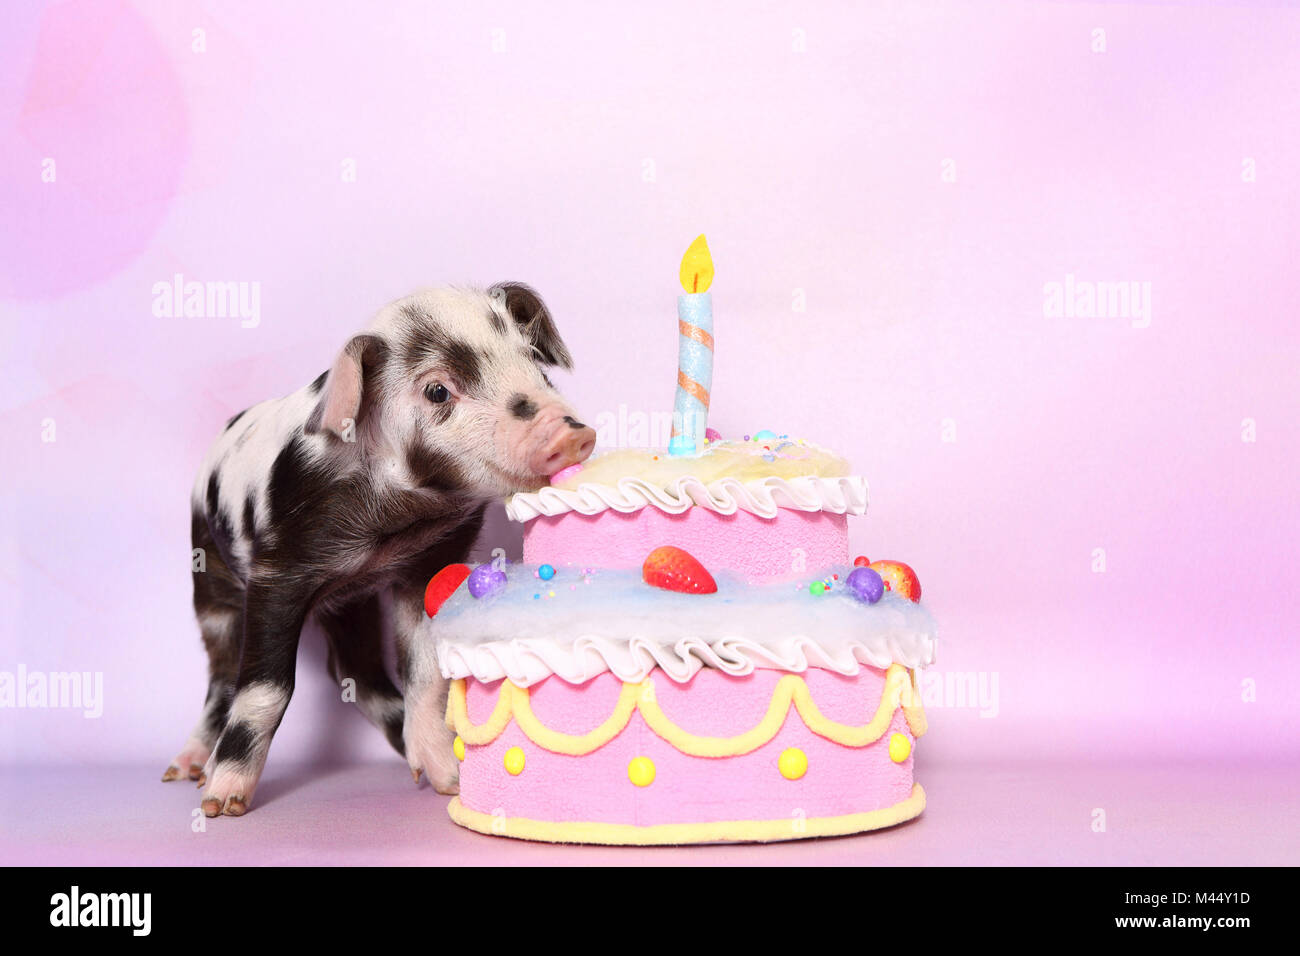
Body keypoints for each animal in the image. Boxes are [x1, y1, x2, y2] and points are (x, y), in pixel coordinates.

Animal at [162, 284, 596, 816]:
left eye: (535, 362)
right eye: (437, 391)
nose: (572, 433)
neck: (390, 527)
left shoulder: (426, 565)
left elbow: (425, 671)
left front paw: (449, 782)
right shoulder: (277, 572)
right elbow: (266, 688)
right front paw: (222, 805)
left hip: (349, 605)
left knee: (353, 672)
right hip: (210, 579)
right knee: (223, 676)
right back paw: (185, 773)